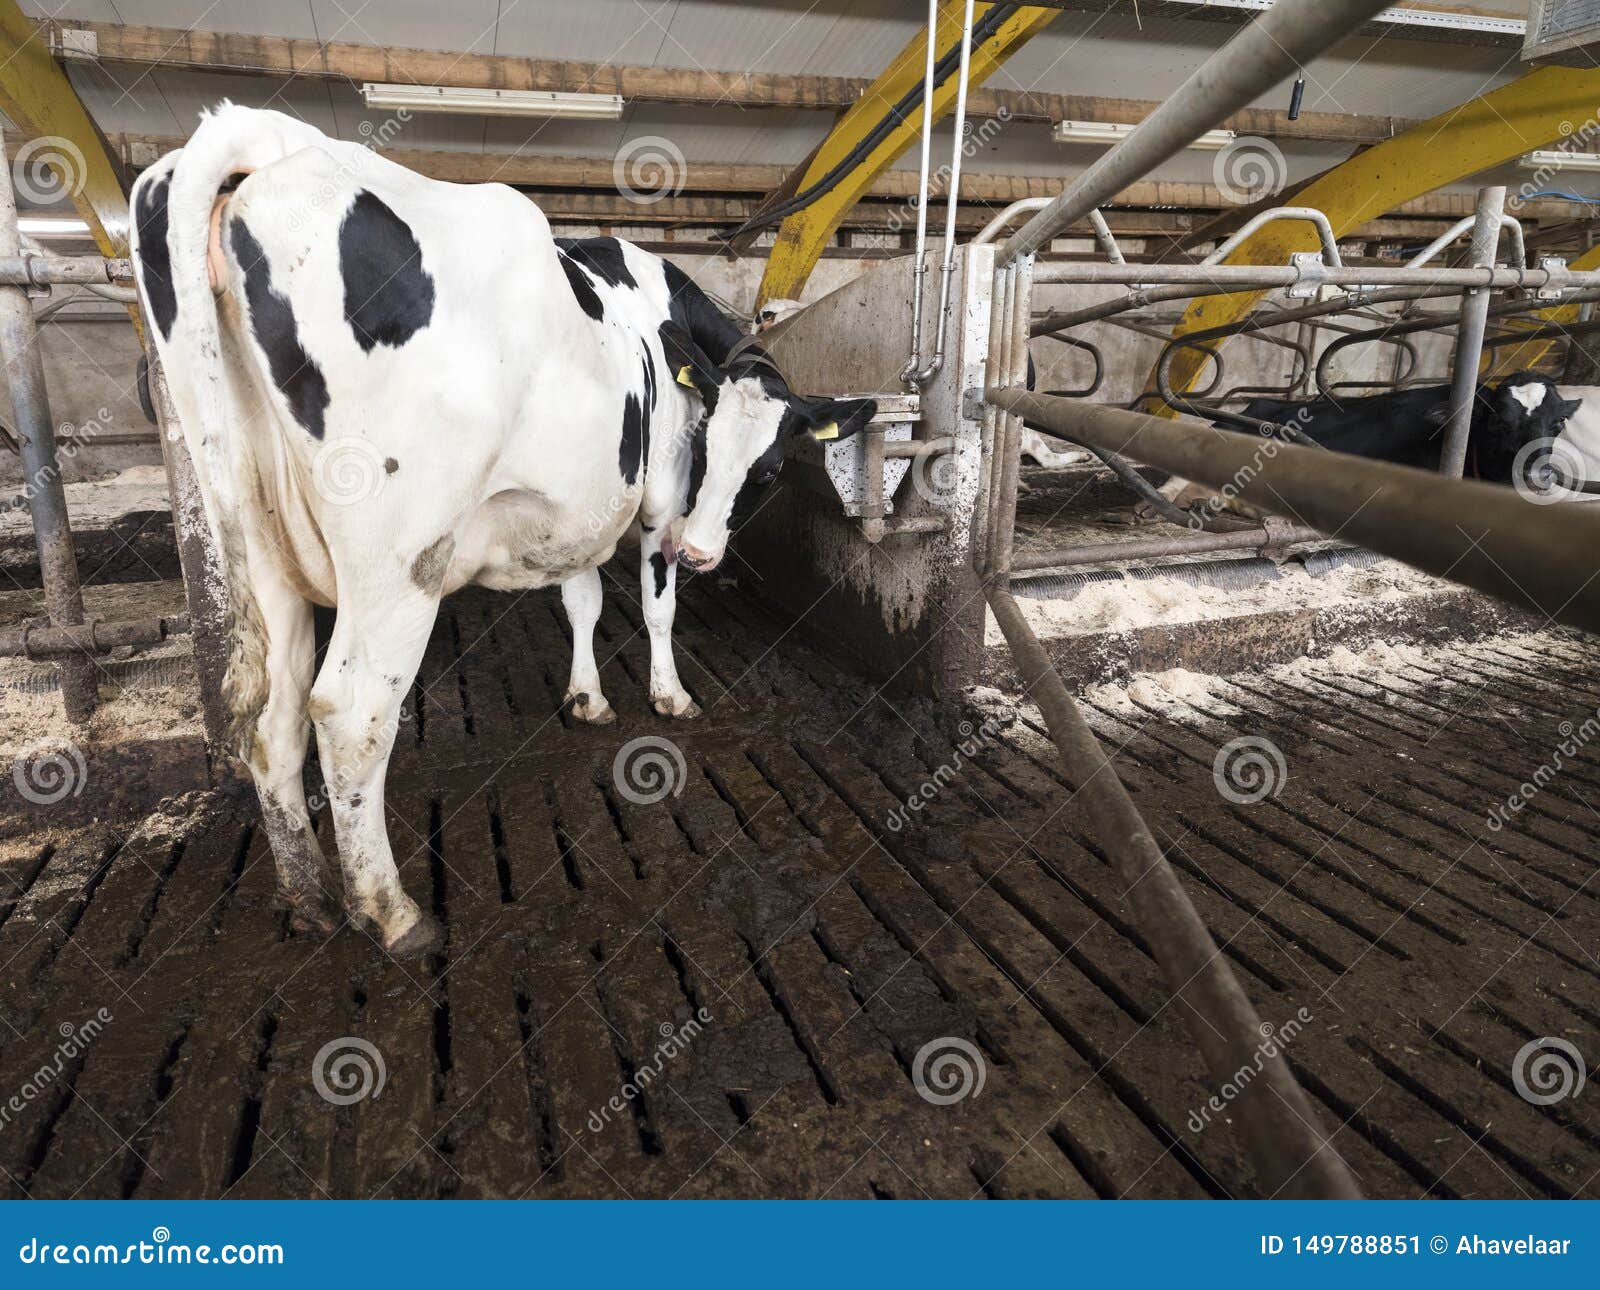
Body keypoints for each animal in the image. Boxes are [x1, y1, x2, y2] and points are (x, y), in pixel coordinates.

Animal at [131, 104, 874, 957]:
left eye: (768, 465)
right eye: (723, 456)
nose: (702, 551)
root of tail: (261, 134)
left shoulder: (582, 506)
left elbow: (582, 601)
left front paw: (587, 697)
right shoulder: (654, 501)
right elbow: (656, 608)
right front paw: (670, 695)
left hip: (255, 535)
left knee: (271, 716)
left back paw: (306, 895)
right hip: (398, 559)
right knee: (349, 715)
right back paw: (390, 913)